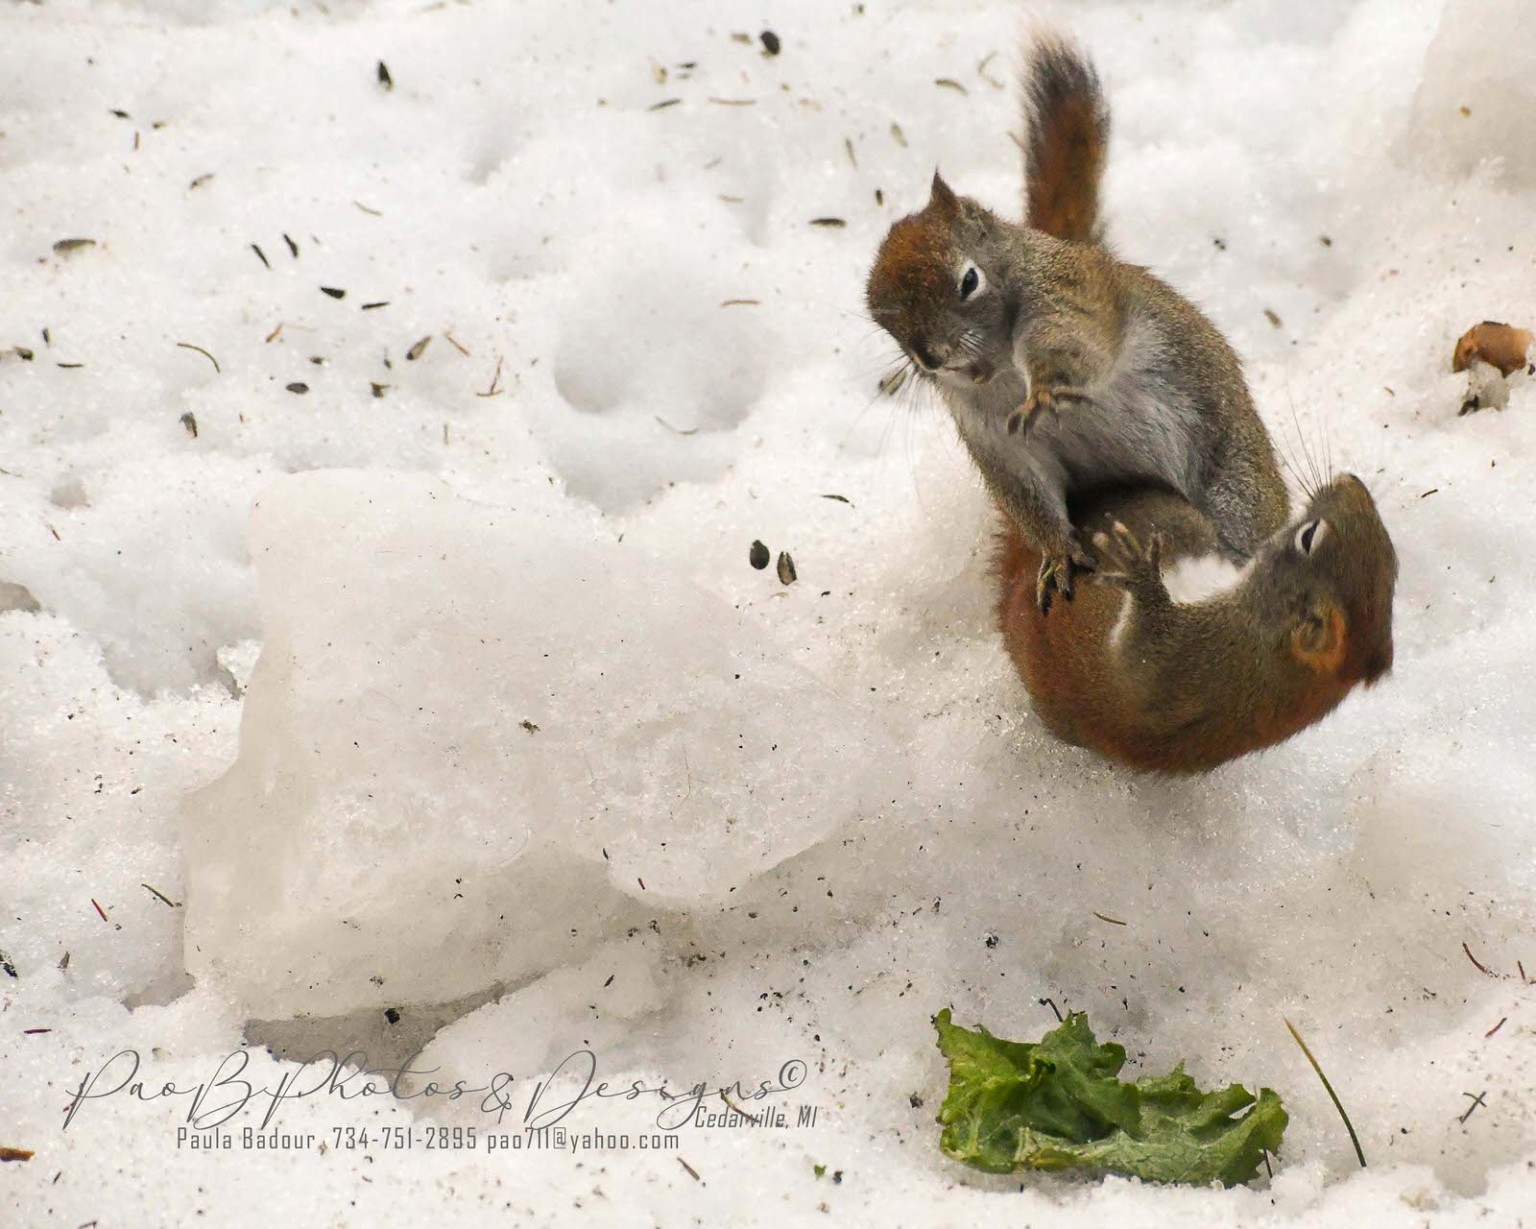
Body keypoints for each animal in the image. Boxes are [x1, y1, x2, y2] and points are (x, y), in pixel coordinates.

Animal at [864, 37, 1289, 612]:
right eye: (883, 322)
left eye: (969, 281)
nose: (929, 357)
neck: (1001, 373)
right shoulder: (998, 444)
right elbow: (1031, 498)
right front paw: (1057, 555)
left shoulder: (1070, 296)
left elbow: (1073, 350)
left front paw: (1046, 391)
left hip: (1237, 491)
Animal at [993, 474, 1398, 773]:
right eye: (1393, 561)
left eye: (1309, 537)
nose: (1350, 480)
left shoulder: (1193, 662)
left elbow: (1139, 664)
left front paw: (1143, 577)